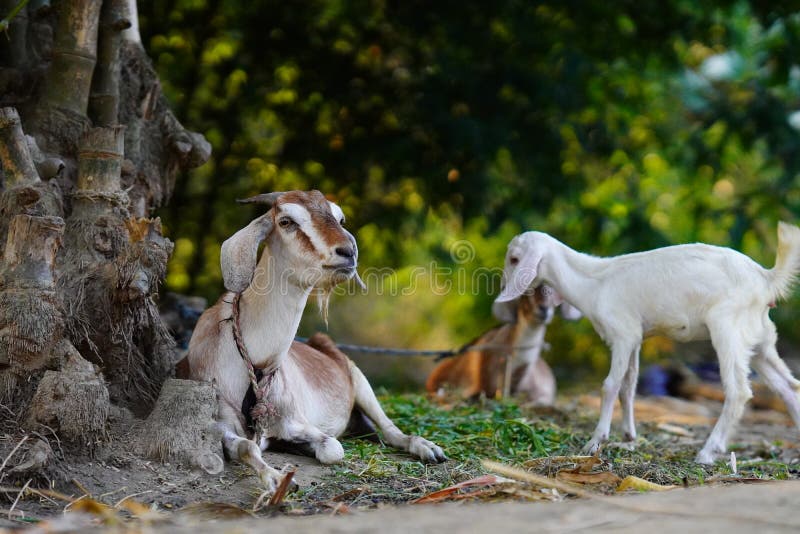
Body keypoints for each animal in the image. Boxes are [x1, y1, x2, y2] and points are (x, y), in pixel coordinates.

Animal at [177, 190, 445, 491]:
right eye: (286, 221)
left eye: (340, 219)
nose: (347, 252)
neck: (256, 362)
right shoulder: (219, 422)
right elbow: (248, 446)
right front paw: (277, 479)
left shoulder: (298, 422)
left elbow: (332, 449)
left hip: (361, 382)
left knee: (390, 429)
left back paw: (428, 448)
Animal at [494, 222, 800, 464]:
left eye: (514, 259)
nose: (502, 292)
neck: (594, 283)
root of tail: (766, 278)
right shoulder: (636, 338)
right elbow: (628, 386)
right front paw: (629, 436)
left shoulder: (623, 334)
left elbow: (610, 385)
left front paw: (595, 441)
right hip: (760, 340)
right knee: (788, 386)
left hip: (728, 329)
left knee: (738, 391)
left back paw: (707, 452)